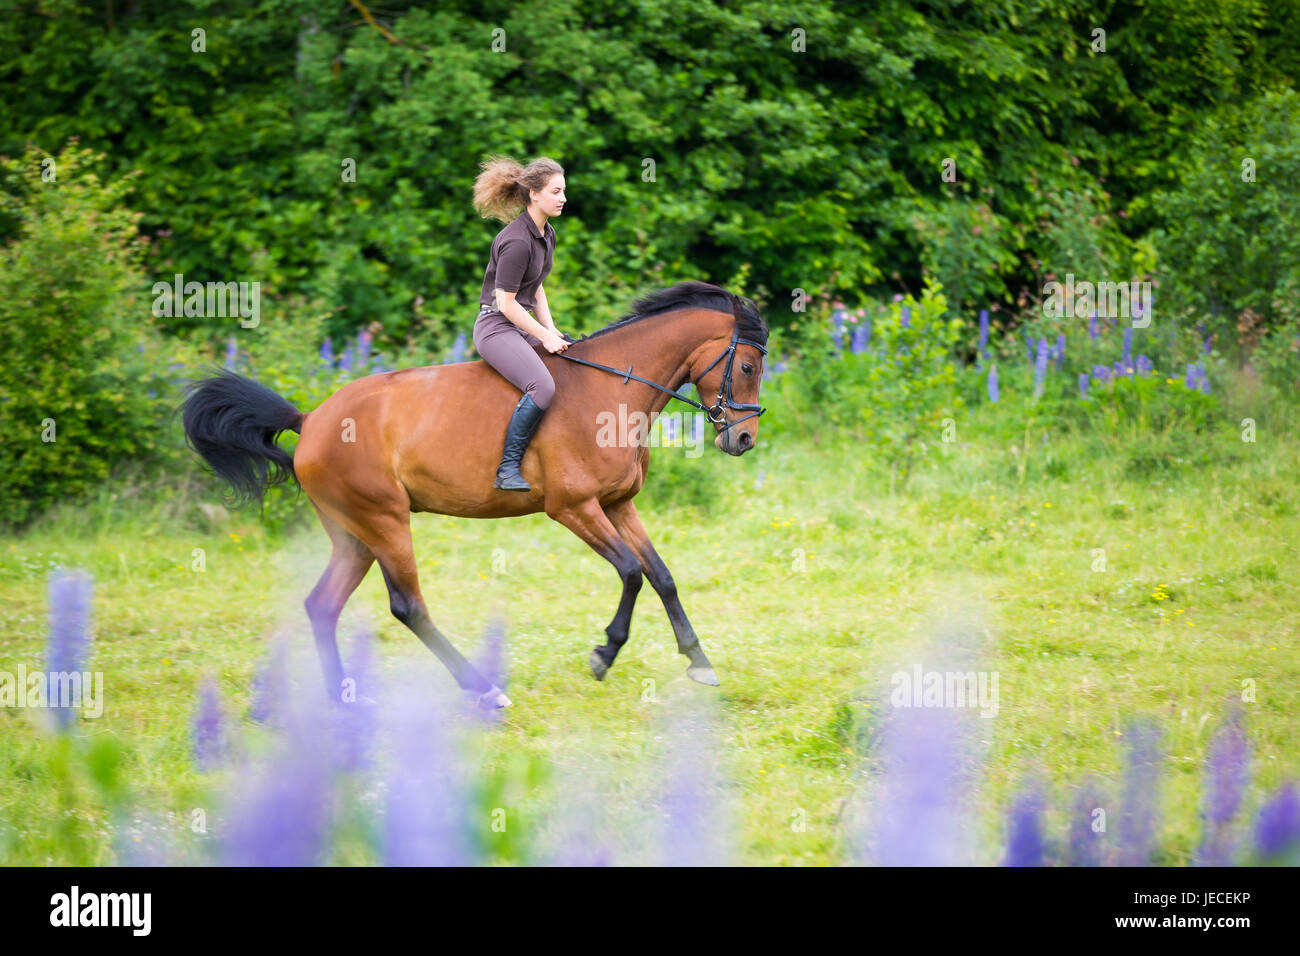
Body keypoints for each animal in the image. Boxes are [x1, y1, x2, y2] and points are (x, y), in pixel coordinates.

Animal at [181, 280, 769, 708]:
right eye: (745, 366)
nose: (743, 440)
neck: (610, 390)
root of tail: (311, 420)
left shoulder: (618, 504)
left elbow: (661, 575)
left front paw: (699, 663)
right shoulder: (573, 508)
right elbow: (629, 572)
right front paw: (604, 654)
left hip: (354, 535)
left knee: (323, 605)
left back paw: (341, 699)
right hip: (385, 520)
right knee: (408, 606)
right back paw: (482, 690)